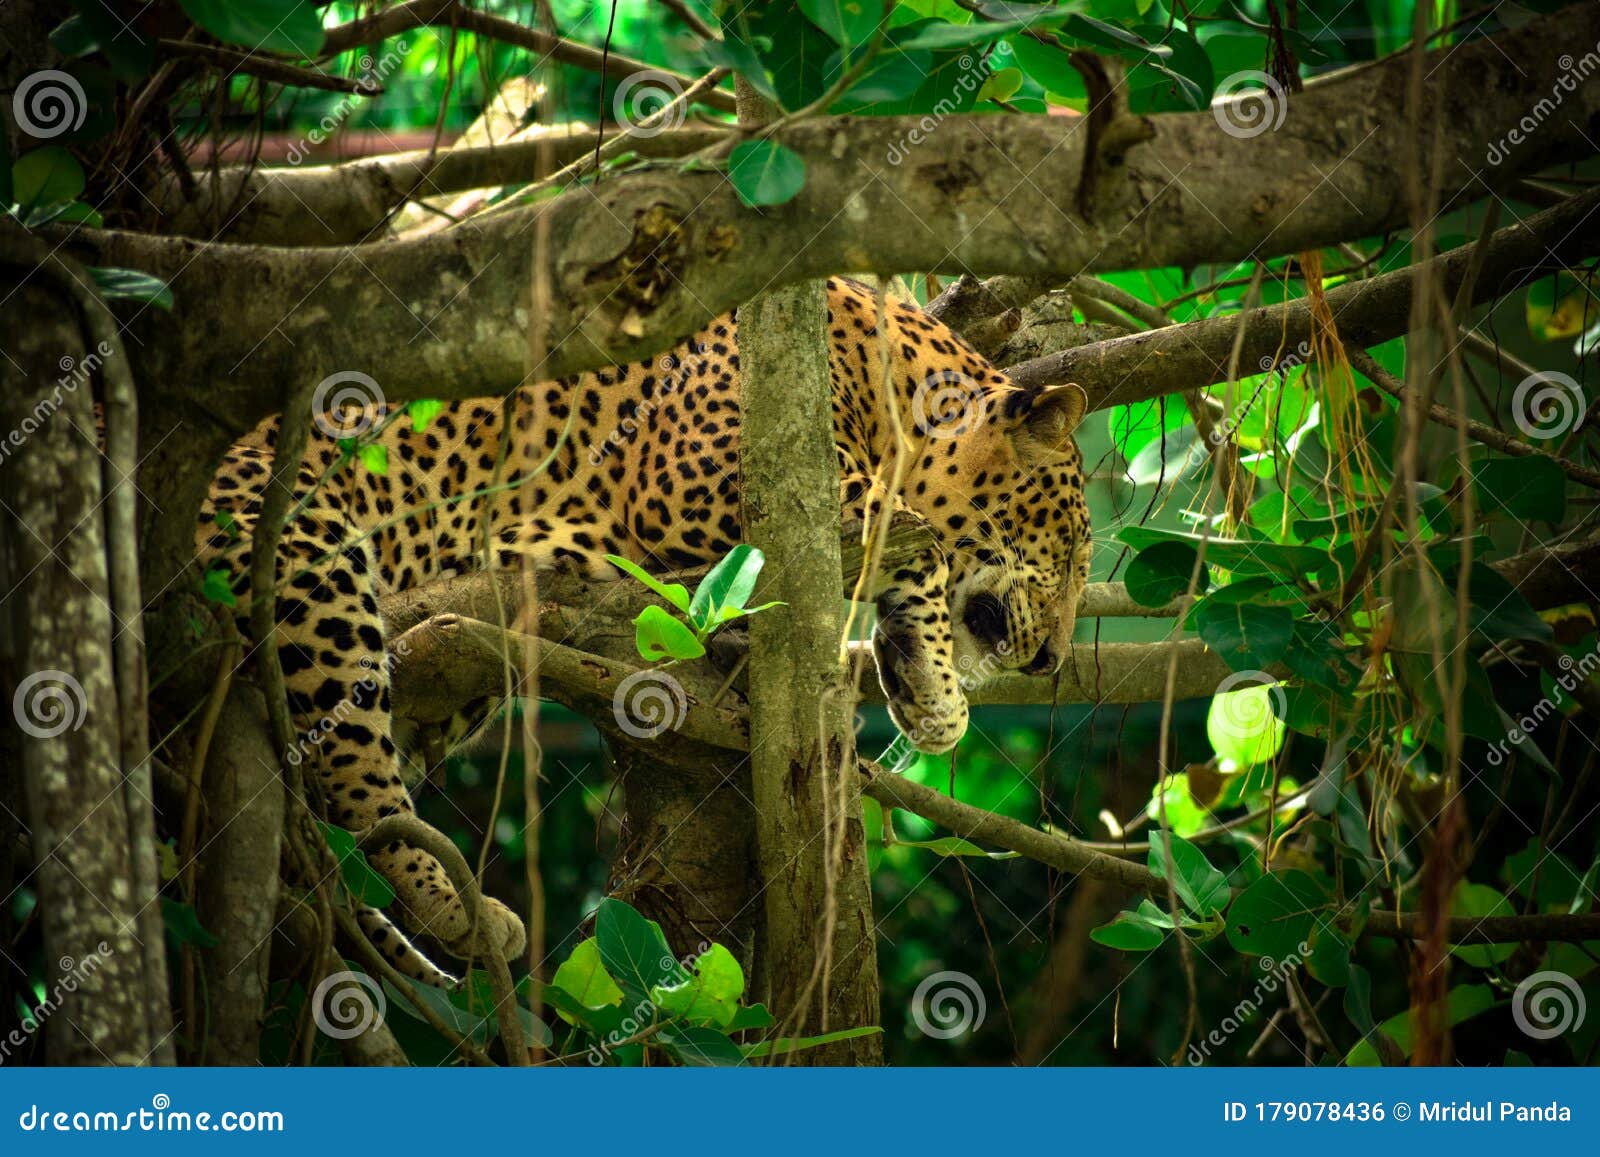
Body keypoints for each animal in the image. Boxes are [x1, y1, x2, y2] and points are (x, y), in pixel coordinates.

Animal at [197, 276, 1092, 983]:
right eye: (1074, 546)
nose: (1051, 660)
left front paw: (921, 683)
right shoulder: (698, 475)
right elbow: (915, 530)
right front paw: (933, 674)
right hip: (308, 553)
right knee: (357, 790)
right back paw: (460, 906)